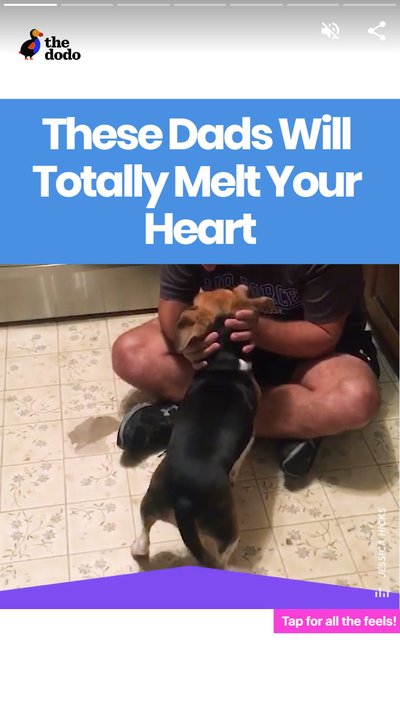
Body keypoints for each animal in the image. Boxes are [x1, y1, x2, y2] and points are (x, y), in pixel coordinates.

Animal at [130, 286, 272, 572]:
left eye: (196, 300)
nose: (198, 288)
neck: (224, 359)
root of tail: (184, 500)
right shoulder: (250, 437)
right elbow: (239, 460)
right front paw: (235, 474)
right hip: (227, 531)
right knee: (220, 558)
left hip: (151, 500)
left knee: (143, 538)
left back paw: (138, 548)